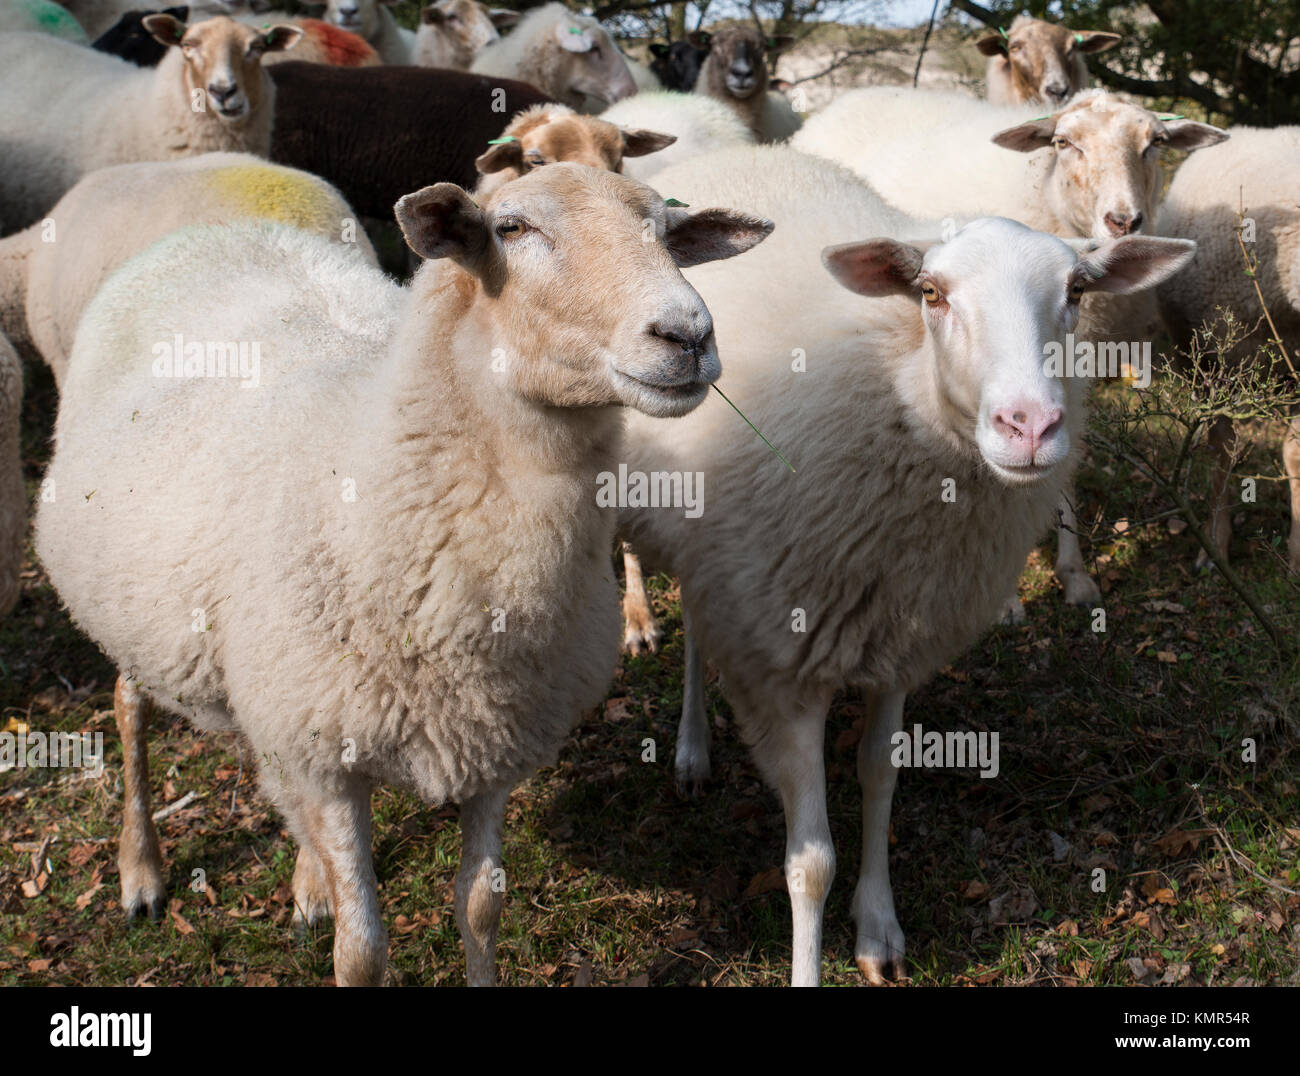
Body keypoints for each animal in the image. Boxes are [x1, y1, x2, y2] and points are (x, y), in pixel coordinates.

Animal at [35, 163, 772, 985]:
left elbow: (480, 906)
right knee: (130, 708)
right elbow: (361, 952)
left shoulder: (493, 738)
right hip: (135, 606)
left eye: (669, 235)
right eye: (511, 229)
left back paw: (305, 878)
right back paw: (142, 870)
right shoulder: (328, 761)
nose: (689, 335)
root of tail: (218, 231)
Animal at [616, 143, 1196, 986]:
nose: (1031, 426)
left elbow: (881, 775)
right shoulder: (781, 661)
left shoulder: (896, 638)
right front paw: (810, 962)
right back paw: (691, 750)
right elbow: (810, 863)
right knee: (693, 621)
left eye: (1077, 291)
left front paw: (878, 928)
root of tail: (742, 148)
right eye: (930, 292)